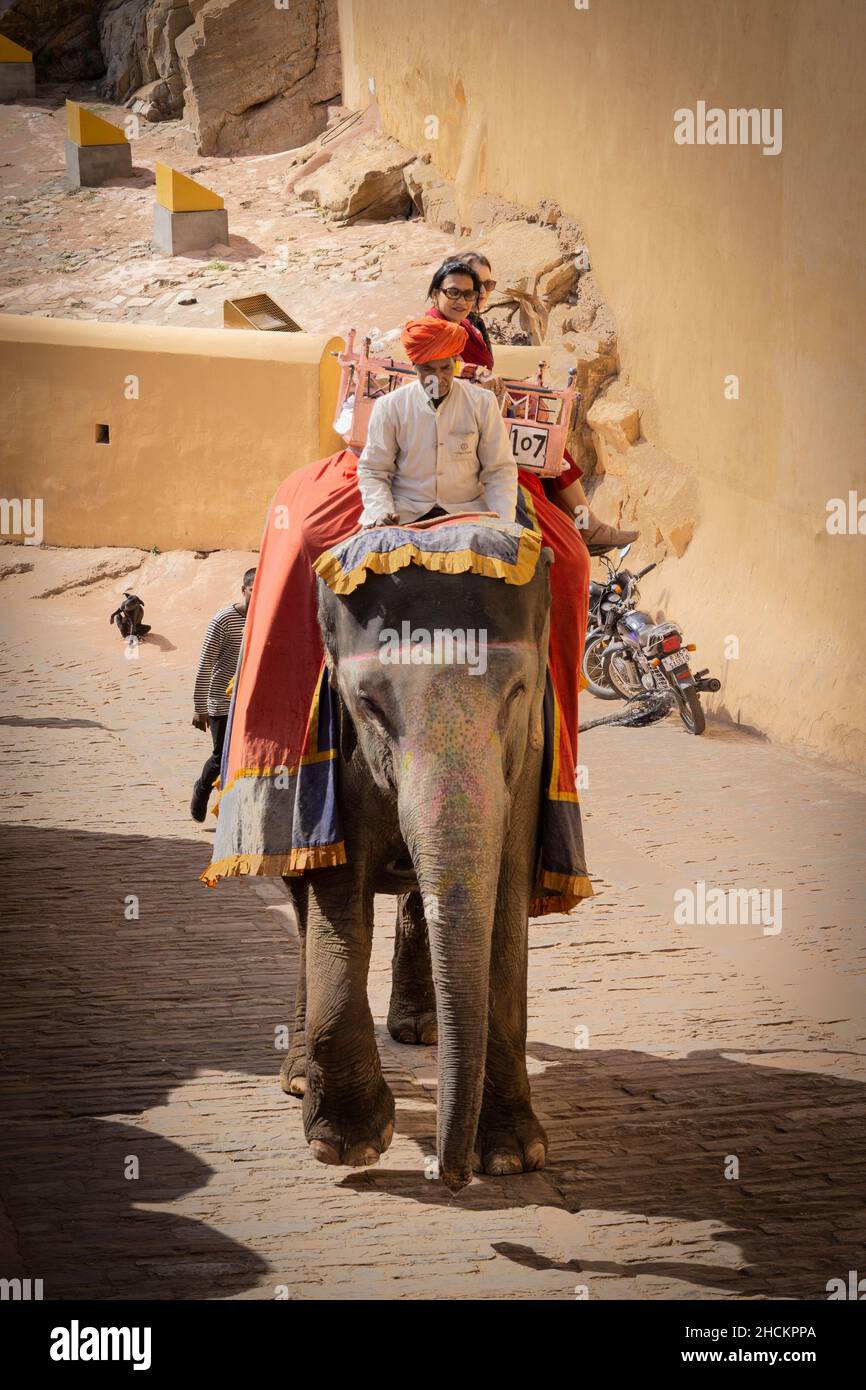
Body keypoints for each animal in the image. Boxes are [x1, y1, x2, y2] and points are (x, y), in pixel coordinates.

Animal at [278, 547, 556, 1192]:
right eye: (370, 705)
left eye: (517, 693)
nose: (449, 1176)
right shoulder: (335, 745)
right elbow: (338, 900)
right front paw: (345, 1145)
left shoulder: (529, 756)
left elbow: (507, 902)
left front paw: (512, 1156)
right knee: (302, 903)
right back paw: (300, 1075)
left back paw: (421, 1031)